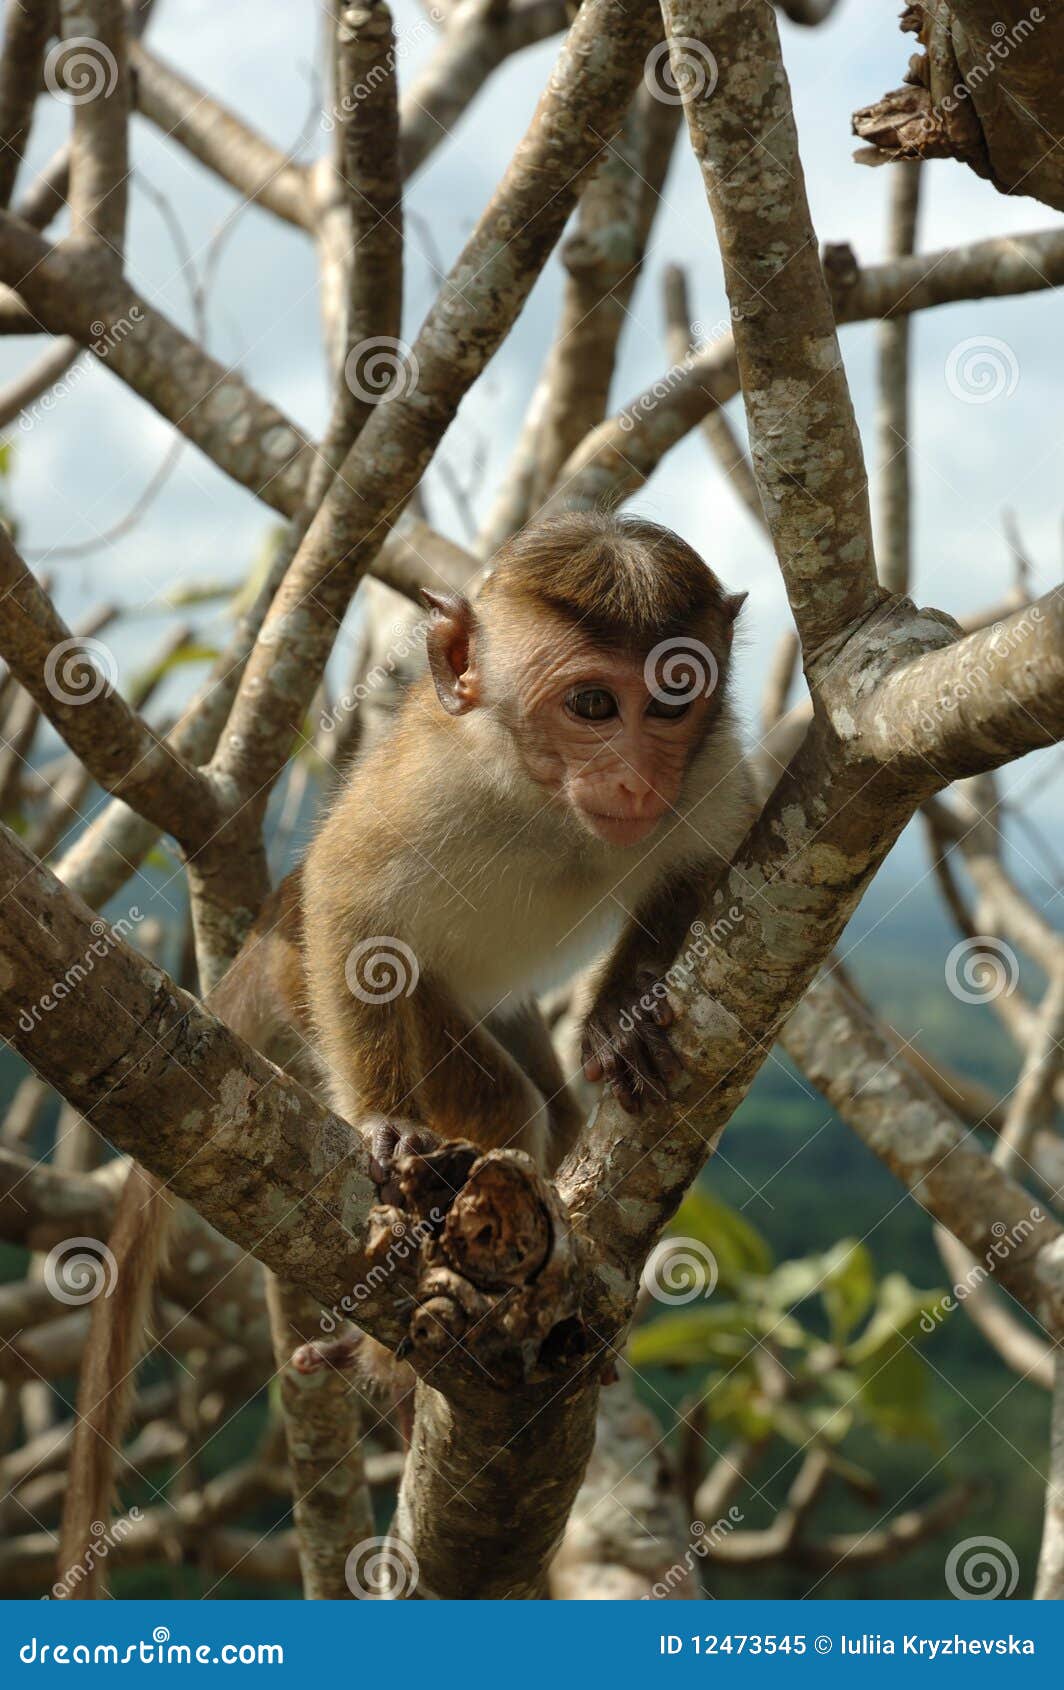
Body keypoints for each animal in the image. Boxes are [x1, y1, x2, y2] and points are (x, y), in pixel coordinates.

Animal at [59, 510, 752, 1591]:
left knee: (548, 1110)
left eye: (672, 700)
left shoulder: (711, 773)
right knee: (499, 1098)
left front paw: (617, 1018)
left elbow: (701, 866)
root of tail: (261, 933)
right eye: (594, 704)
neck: (546, 804)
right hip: (306, 980)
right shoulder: (427, 788)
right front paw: (389, 1123)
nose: (639, 775)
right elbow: (354, 906)